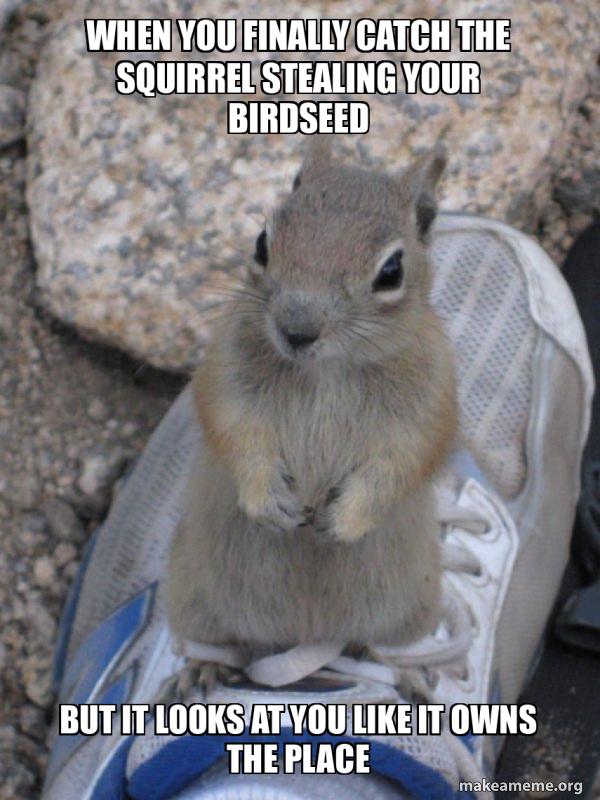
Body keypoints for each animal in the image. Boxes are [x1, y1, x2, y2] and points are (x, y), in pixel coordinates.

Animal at [166, 136, 457, 674]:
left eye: (392, 271)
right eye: (262, 242)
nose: (296, 329)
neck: (327, 370)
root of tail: (308, 634)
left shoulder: (428, 408)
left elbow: (401, 464)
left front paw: (345, 519)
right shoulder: (226, 378)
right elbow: (235, 433)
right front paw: (267, 499)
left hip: (415, 612)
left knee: (372, 644)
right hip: (188, 598)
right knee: (225, 645)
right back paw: (201, 671)